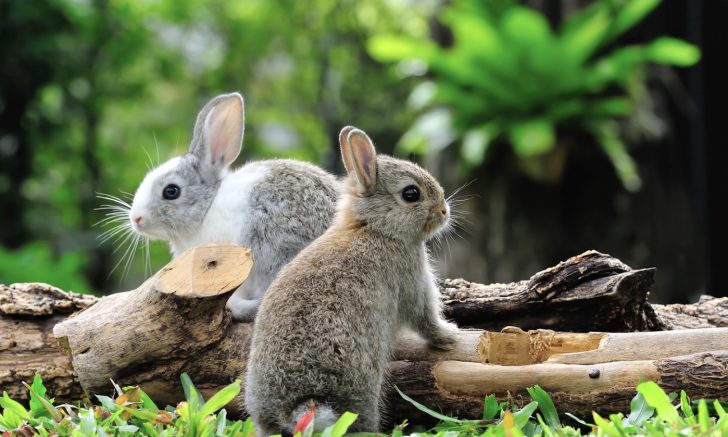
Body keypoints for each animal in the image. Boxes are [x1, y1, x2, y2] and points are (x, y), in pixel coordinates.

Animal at [244, 126, 459, 435]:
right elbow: (425, 319)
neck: (374, 228)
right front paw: (450, 336)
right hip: (362, 390)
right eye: (411, 194)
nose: (444, 211)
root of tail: (299, 405)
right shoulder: (412, 280)